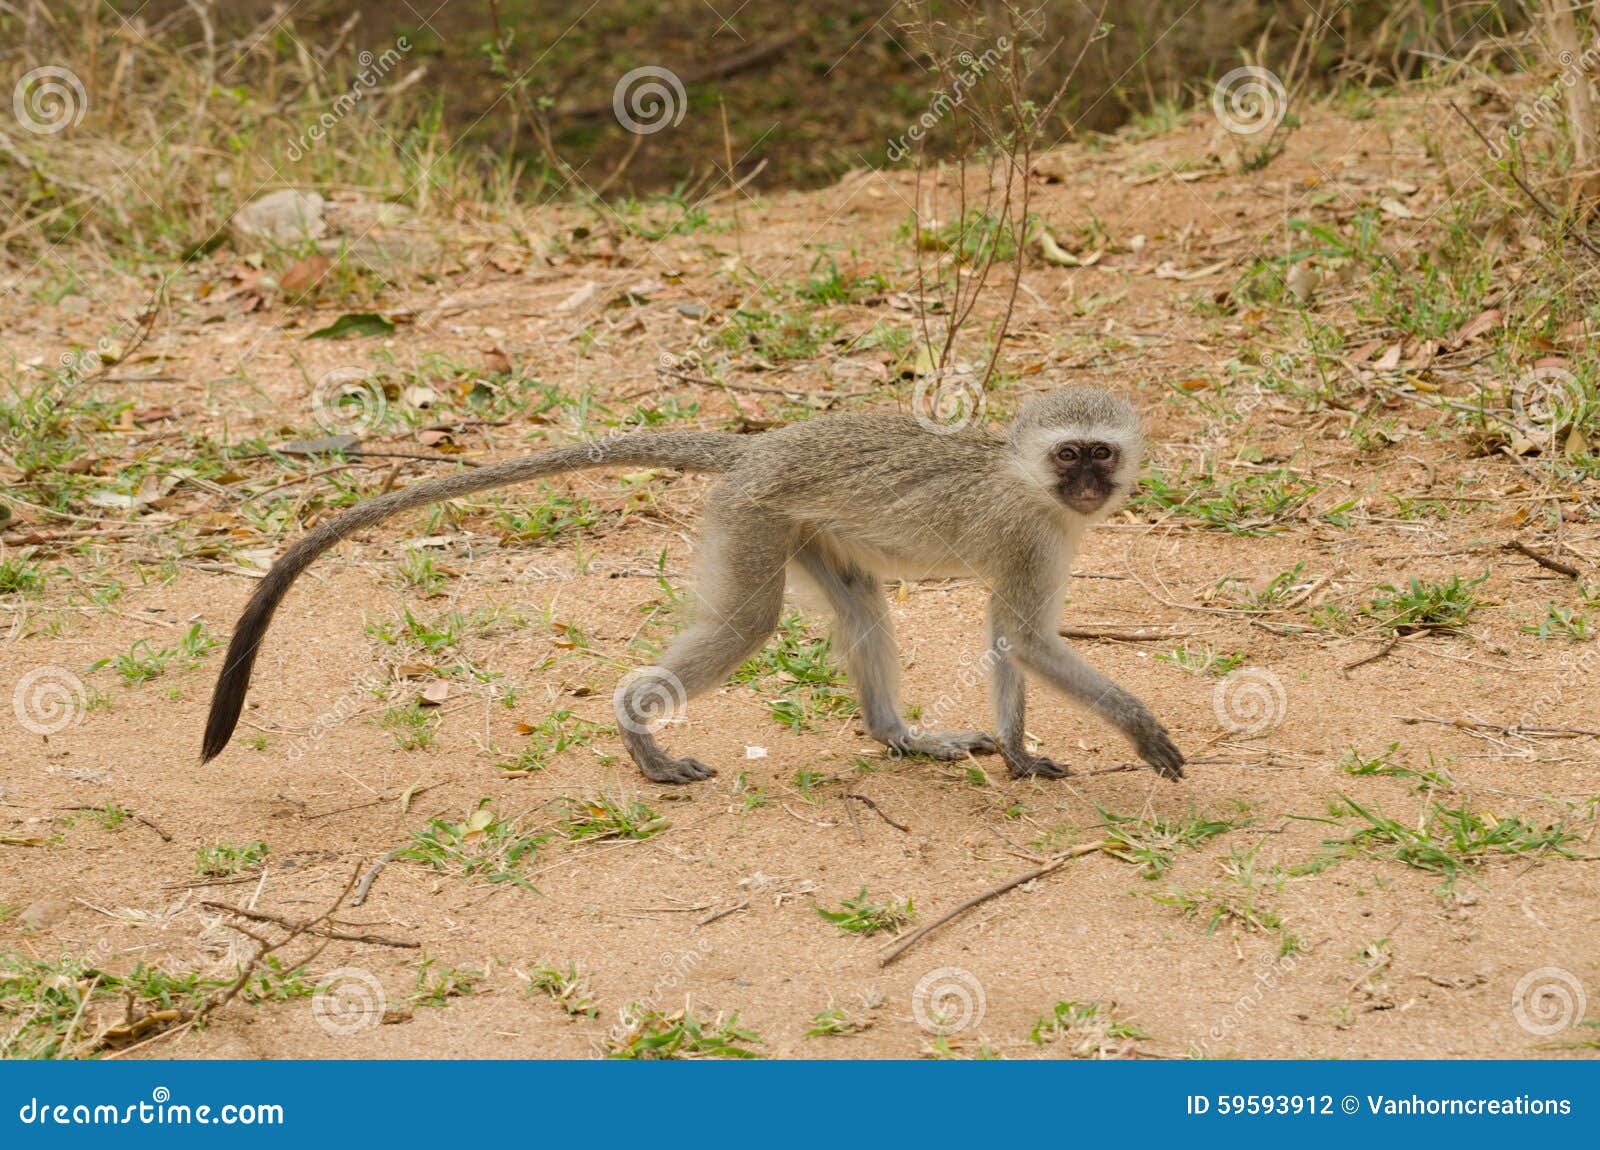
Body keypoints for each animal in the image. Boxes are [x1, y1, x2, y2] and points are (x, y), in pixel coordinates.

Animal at [202, 386, 1185, 785]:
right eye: (1070, 454)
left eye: (1102, 453)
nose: (1090, 486)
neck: (1030, 484)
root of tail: (756, 449)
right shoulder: (1031, 537)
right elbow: (1026, 638)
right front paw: (1141, 728)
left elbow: (1008, 642)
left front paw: (1018, 751)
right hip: (751, 520)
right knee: (750, 623)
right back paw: (637, 725)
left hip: (799, 530)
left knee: (861, 605)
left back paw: (897, 735)